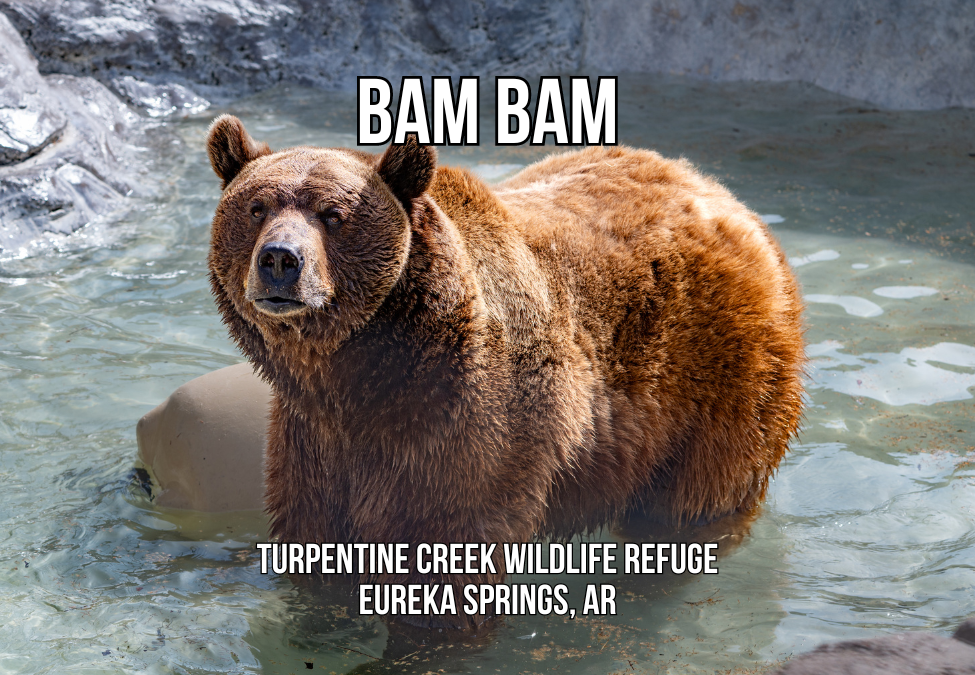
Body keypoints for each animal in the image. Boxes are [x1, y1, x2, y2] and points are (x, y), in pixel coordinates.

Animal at [205, 114, 805, 629]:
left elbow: (445, 561)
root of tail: (721, 195)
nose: (280, 259)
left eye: (333, 214)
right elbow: (315, 543)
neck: (358, 377)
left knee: (690, 507)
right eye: (256, 207)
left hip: (718, 380)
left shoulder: (466, 427)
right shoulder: (315, 440)